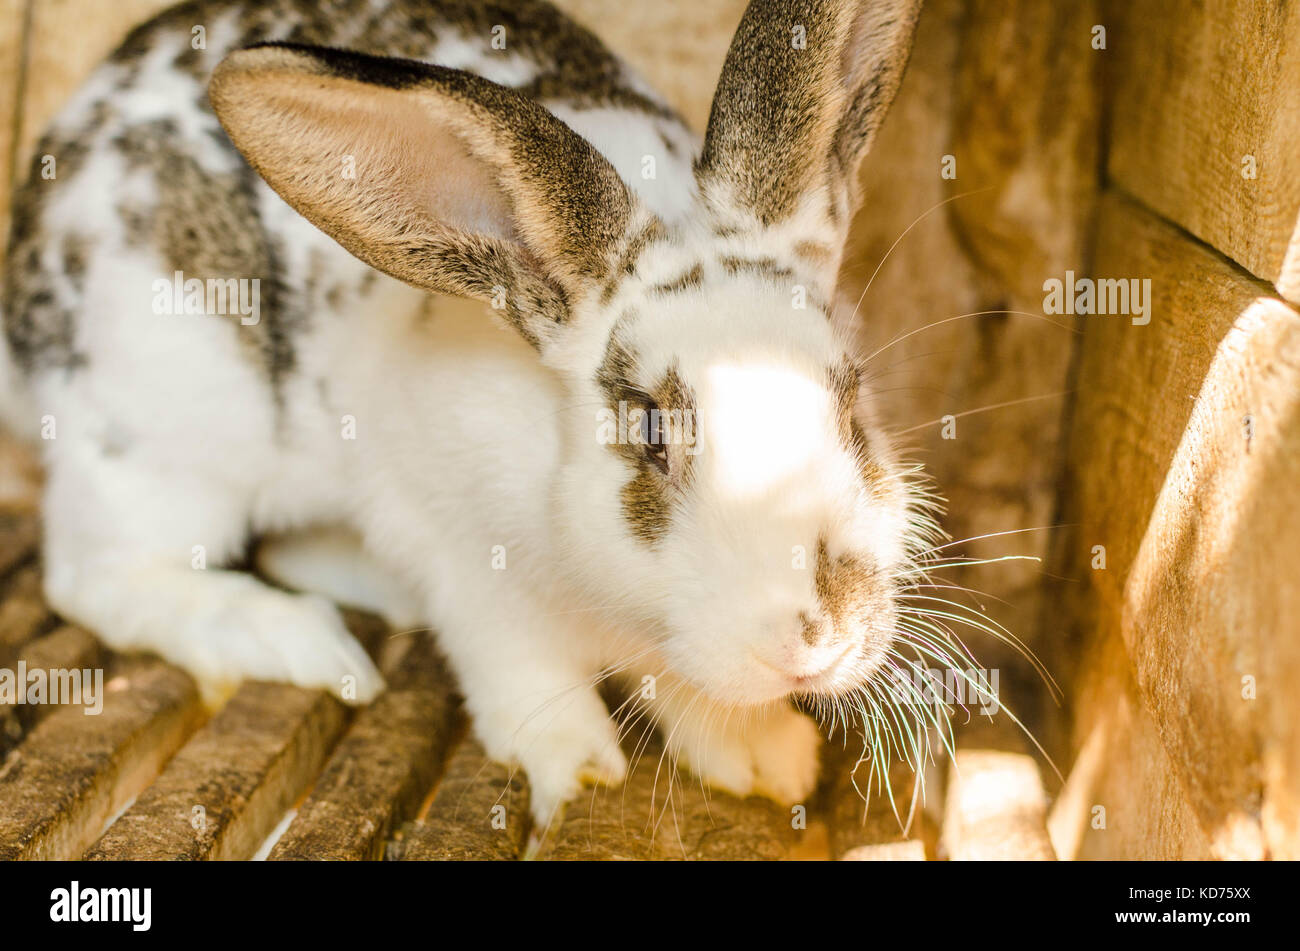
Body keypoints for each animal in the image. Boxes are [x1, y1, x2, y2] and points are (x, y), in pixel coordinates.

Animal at [1, 0, 929, 822]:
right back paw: (299, 642)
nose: (817, 639)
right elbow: (519, 666)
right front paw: (576, 764)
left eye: (851, 401)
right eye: (651, 431)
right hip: (165, 439)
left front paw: (769, 755)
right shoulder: (465, 559)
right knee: (101, 576)